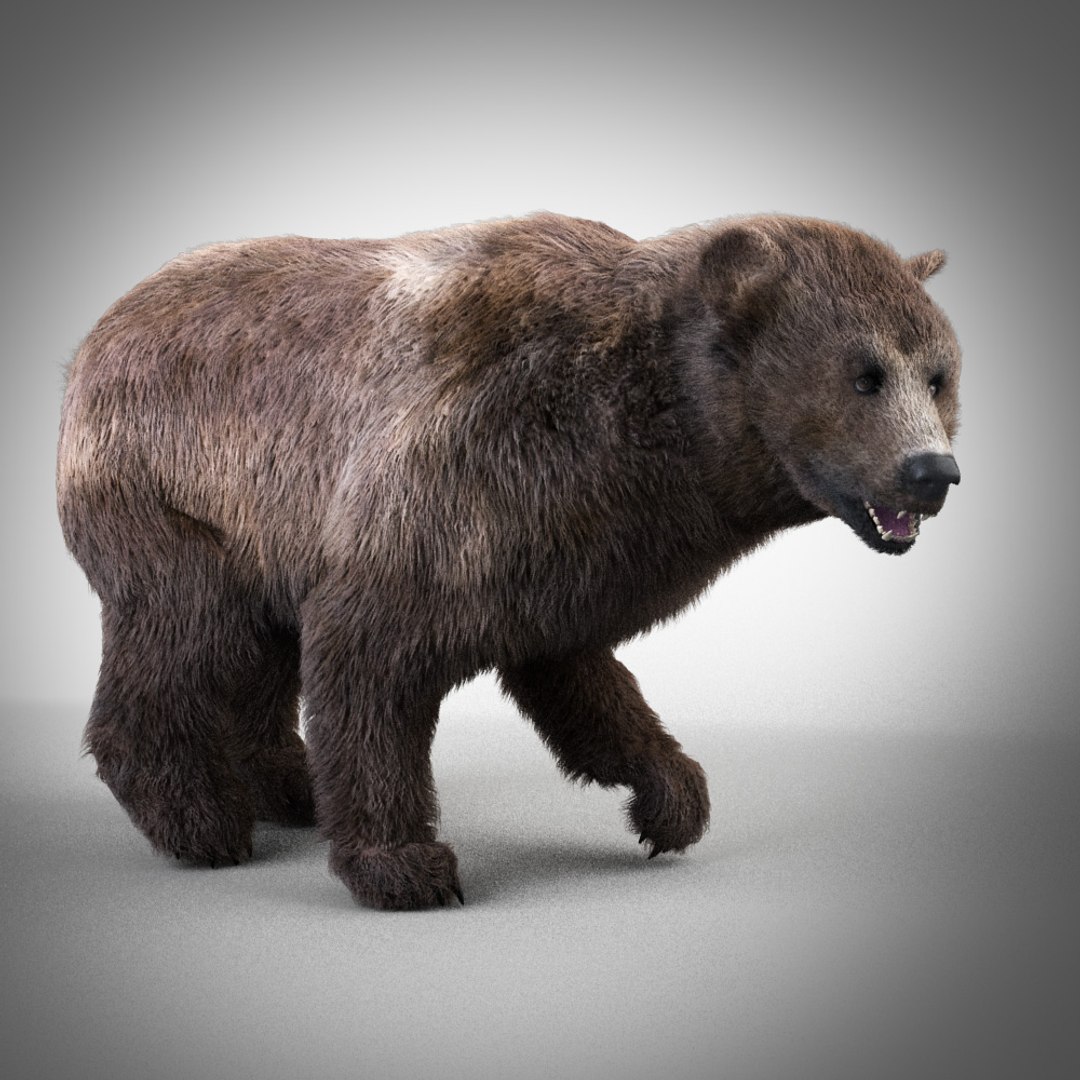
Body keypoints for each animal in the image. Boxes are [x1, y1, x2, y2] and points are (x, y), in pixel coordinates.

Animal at [57, 212, 961, 910]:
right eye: (864, 374)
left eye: (939, 373)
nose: (933, 471)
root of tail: (100, 330)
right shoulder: (455, 484)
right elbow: (369, 661)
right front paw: (407, 867)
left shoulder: (556, 547)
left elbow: (579, 676)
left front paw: (669, 798)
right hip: (179, 490)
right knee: (186, 633)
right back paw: (199, 820)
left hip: (263, 531)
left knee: (257, 652)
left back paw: (290, 787)